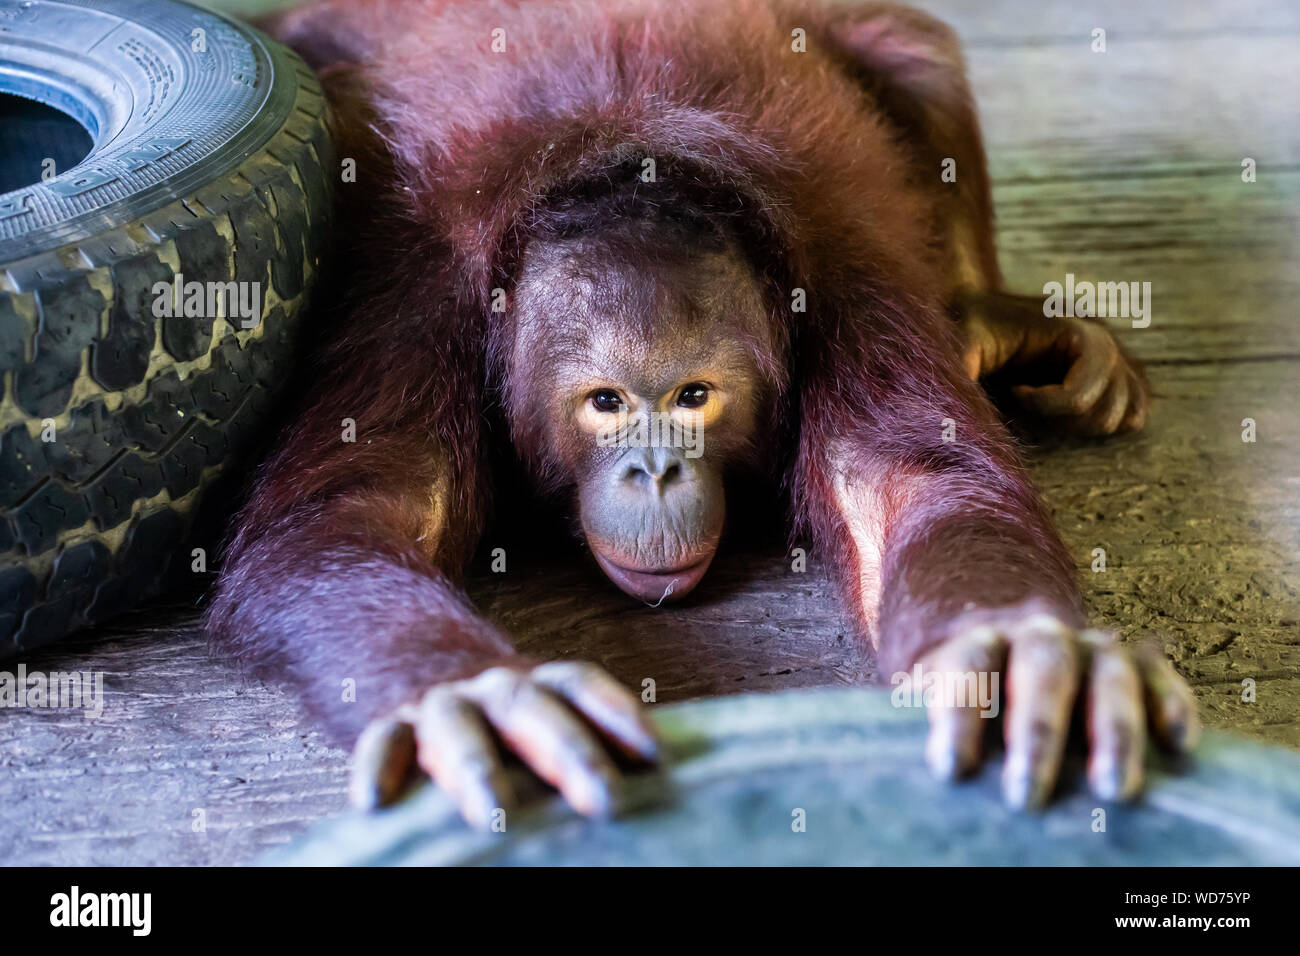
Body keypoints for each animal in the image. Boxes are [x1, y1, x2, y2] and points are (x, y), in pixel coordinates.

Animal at [209, 0, 1197, 828]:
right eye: (607, 403)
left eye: (693, 397)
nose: (656, 471)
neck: (625, 141)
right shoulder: (419, 309)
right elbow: (356, 510)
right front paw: (473, 697)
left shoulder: (848, 292)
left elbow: (908, 482)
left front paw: (1016, 650)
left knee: (909, 47)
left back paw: (990, 320)